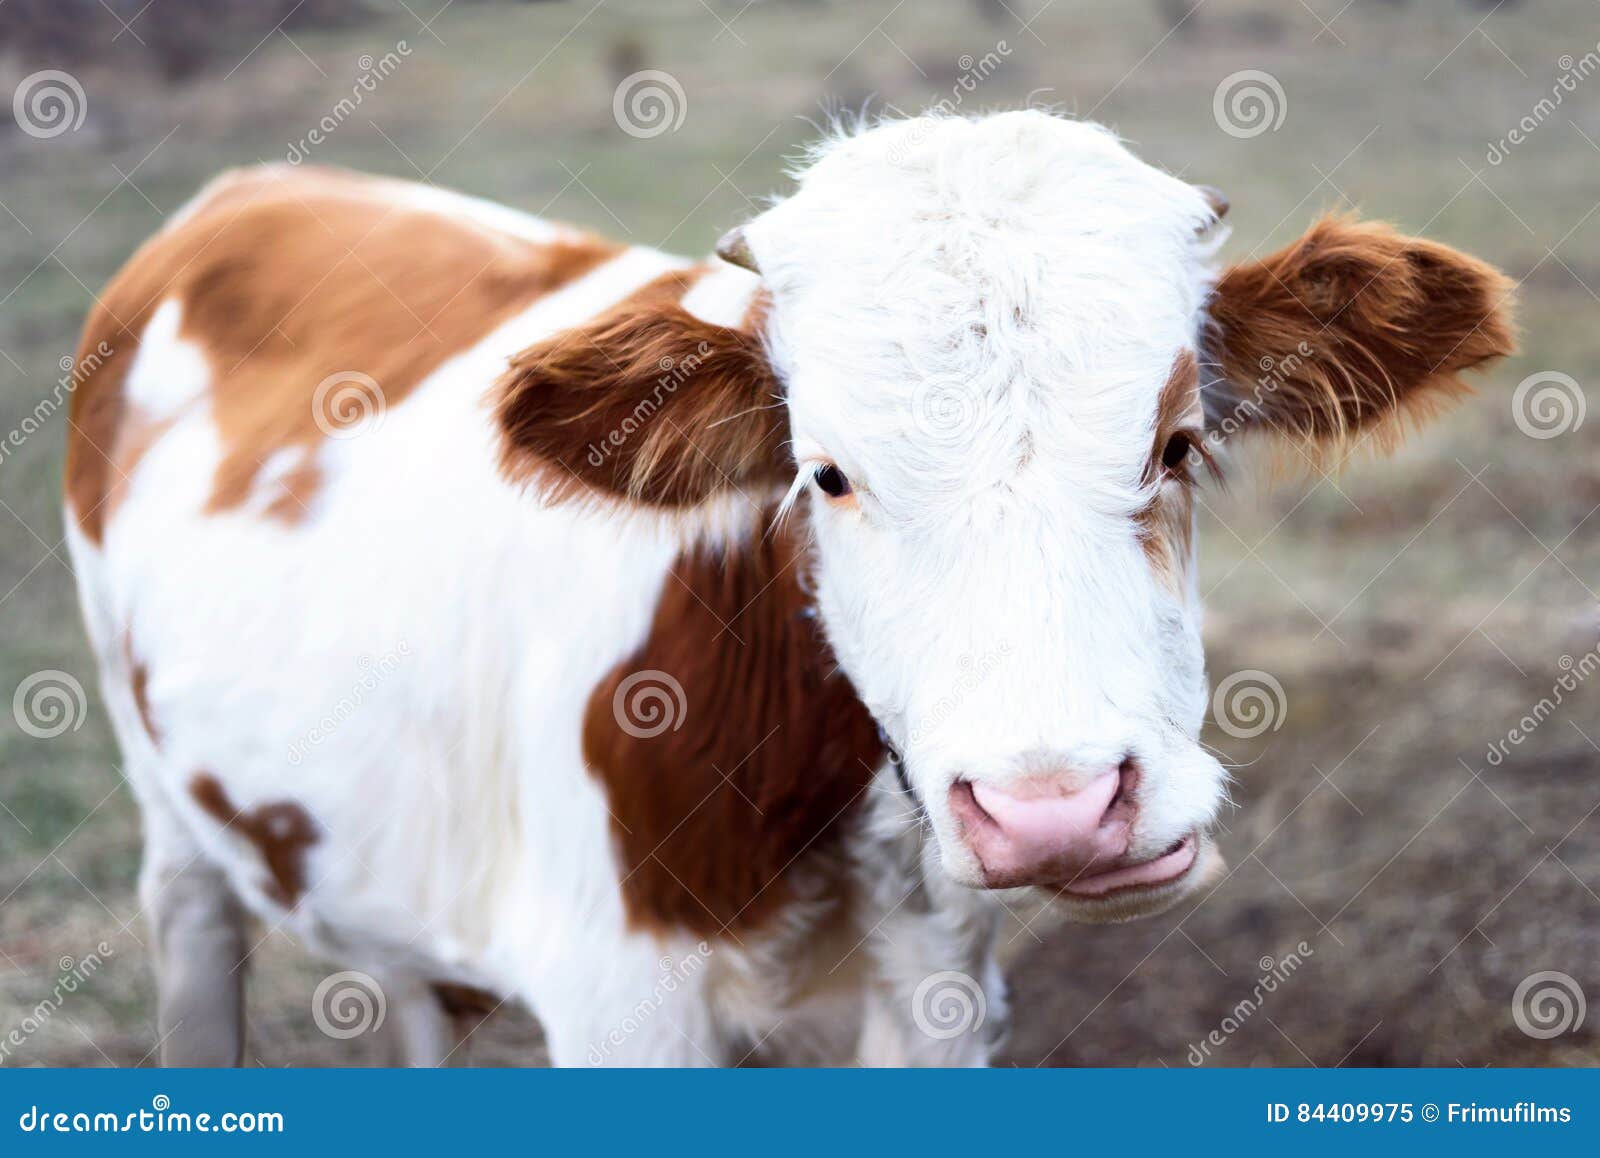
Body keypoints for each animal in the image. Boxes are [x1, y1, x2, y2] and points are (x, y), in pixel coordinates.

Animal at [64, 111, 1514, 1067]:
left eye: (1180, 445)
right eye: (824, 473)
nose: (1053, 811)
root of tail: (255, 189)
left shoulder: (938, 995)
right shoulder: (621, 1007)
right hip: (173, 826)